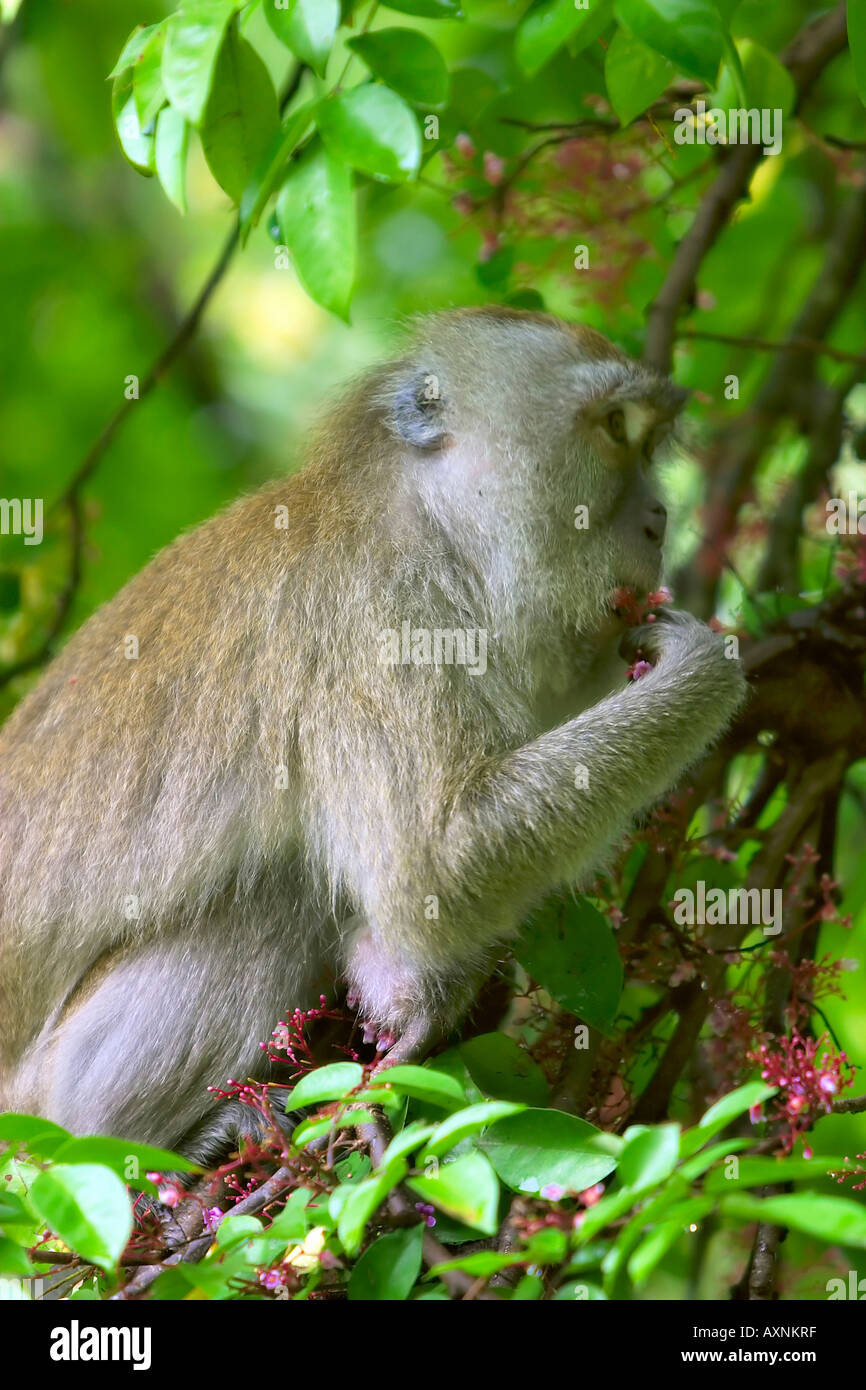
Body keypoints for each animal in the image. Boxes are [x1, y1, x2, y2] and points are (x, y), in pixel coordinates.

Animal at [0, 307, 746, 1163]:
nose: (660, 521)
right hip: (44, 1114)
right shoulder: (376, 619)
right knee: (278, 892)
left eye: (651, 440)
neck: (433, 525)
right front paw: (709, 667)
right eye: (615, 429)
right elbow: (439, 864)